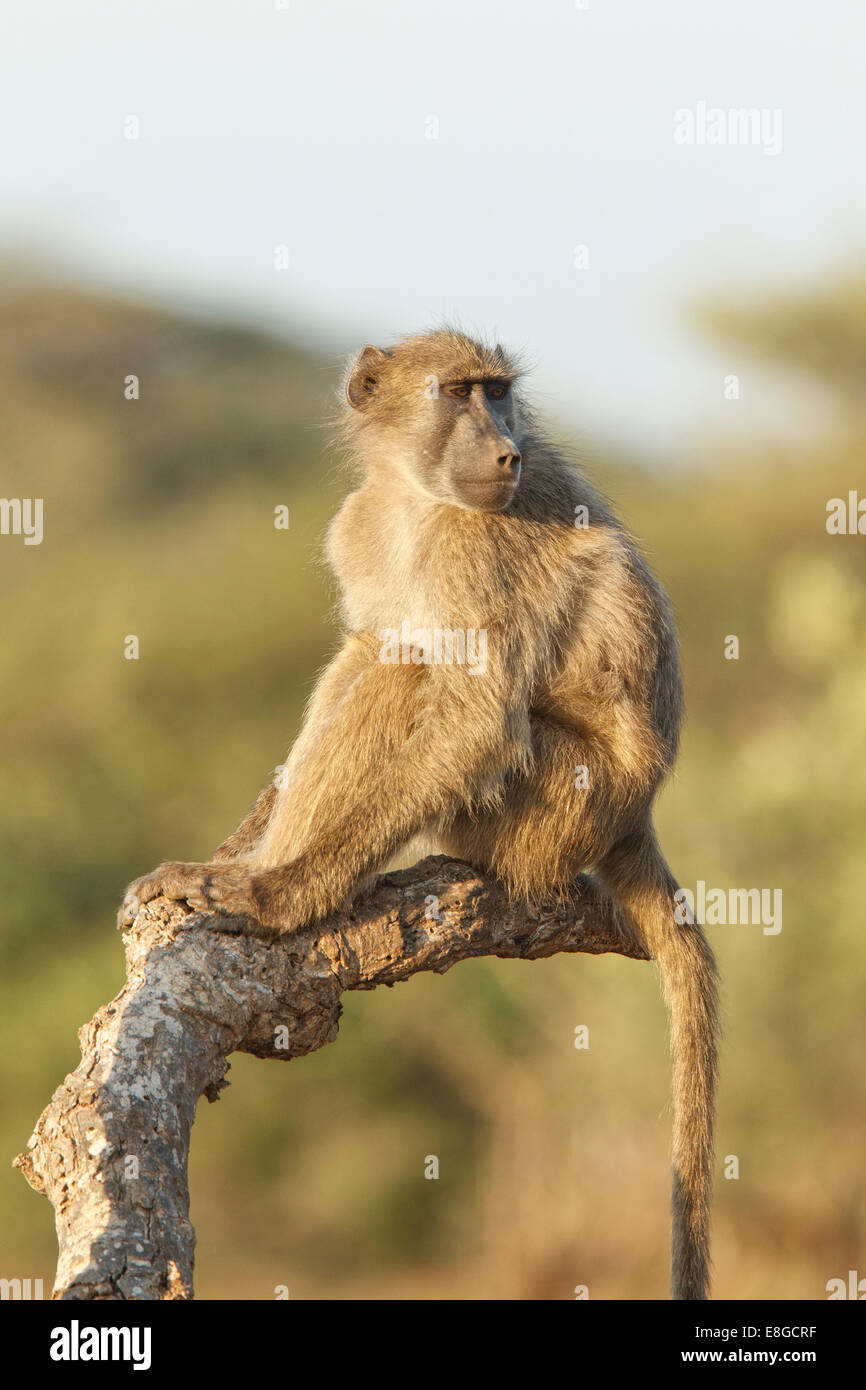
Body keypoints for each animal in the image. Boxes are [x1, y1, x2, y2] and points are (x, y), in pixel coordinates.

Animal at [118, 328, 718, 1301]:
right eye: (459, 392)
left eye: (498, 393)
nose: (507, 453)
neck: (414, 496)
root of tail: (638, 818)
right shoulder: (360, 527)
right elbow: (362, 648)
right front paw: (246, 867)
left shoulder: (479, 548)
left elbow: (473, 712)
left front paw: (278, 896)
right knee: (386, 657)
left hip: (561, 804)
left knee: (411, 673)